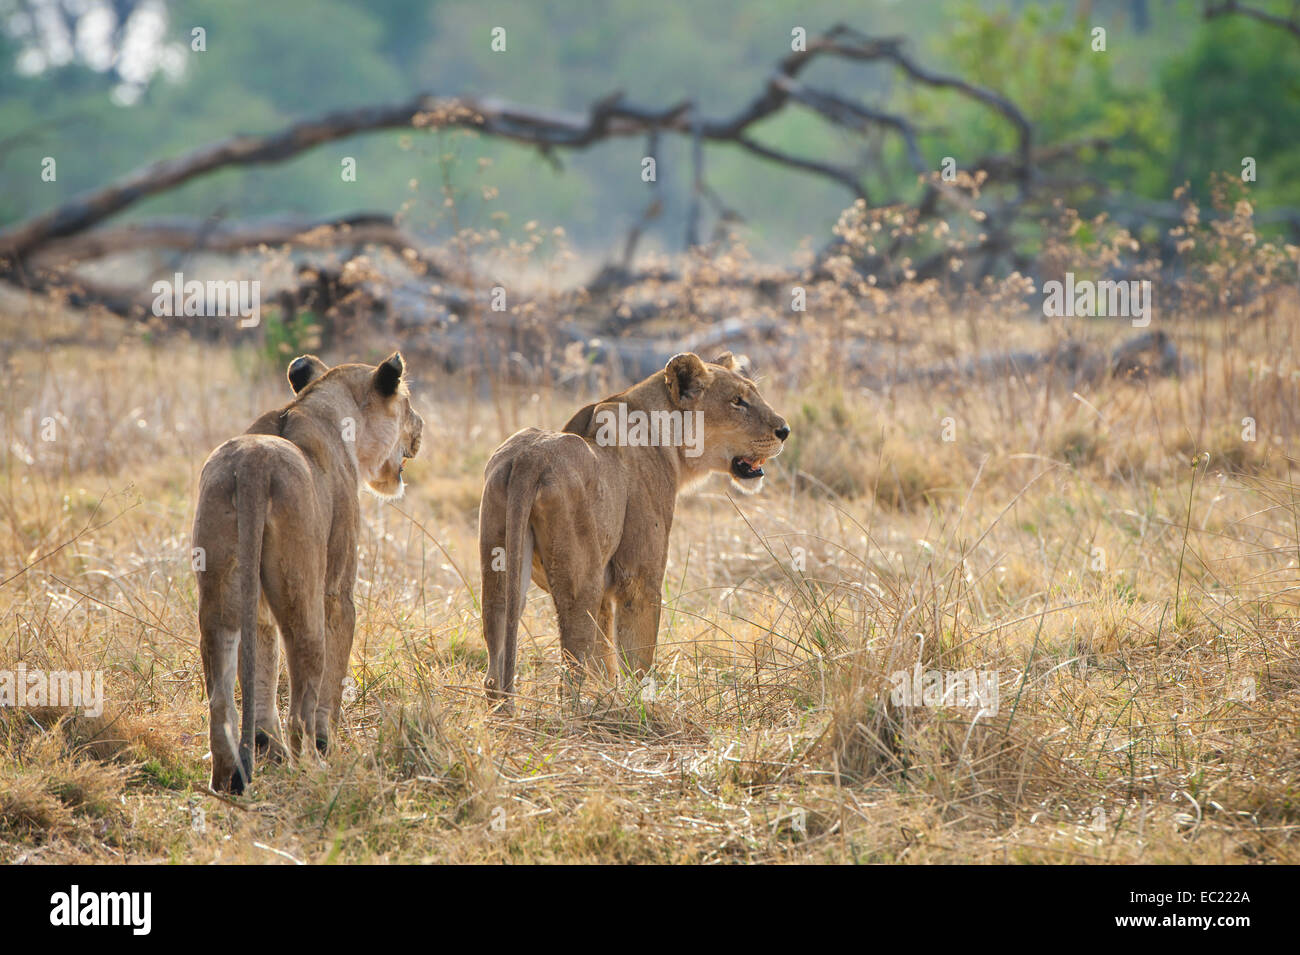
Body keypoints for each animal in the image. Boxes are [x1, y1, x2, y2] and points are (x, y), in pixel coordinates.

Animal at [193, 352, 423, 793]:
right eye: (407, 405)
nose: (421, 428)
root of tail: (253, 464)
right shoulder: (338, 591)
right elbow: (331, 681)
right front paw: (326, 742)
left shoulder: (261, 612)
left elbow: (262, 672)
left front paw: (268, 749)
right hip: (304, 597)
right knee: (303, 691)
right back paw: (313, 768)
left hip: (218, 597)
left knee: (220, 696)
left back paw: (230, 779)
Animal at [478, 352, 789, 705]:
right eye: (737, 401)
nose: (785, 430)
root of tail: (530, 459)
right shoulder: (639, 577)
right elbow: (637, 656)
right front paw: (643, 704)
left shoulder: (605, 587)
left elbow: (604, 658)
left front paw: (613, 696)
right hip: (581, 584)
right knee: (570, 669)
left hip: (501, 567)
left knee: (496, 659)